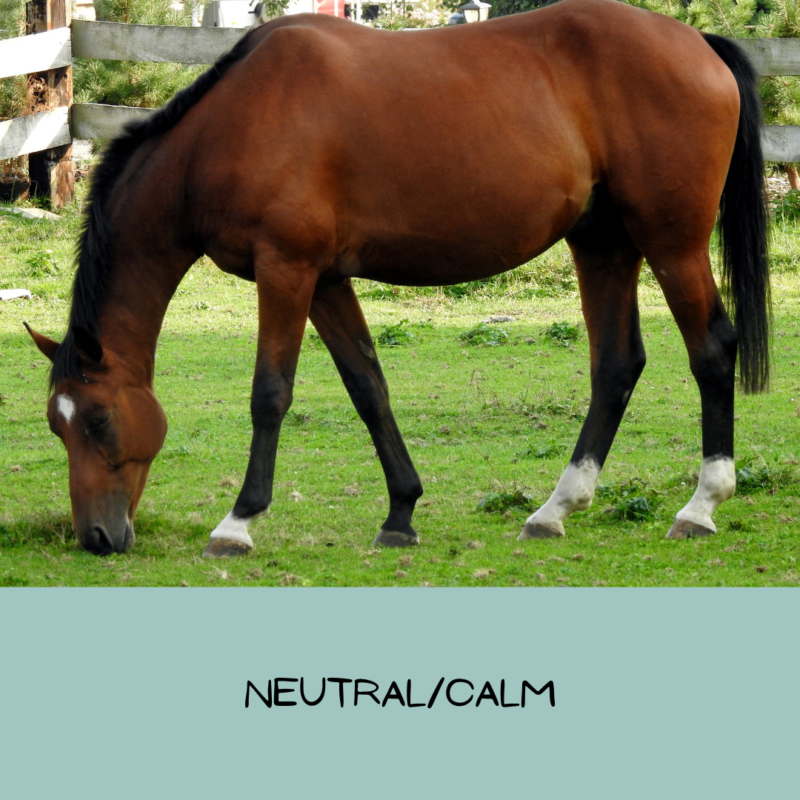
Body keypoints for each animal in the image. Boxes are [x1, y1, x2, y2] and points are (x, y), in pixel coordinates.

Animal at [26, 0, 770, 557]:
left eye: (97, 420)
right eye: (57, 427)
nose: (97, 537)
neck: (227, 129)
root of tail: (698, 43)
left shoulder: (285, 271)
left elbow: (270, 393)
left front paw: (238, 522)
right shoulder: (324, 280)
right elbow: (367, 386)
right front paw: (401, 513)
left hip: (672, 243)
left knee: (711, 350)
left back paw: (700, 505)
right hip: (603, 244)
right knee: (615, 366)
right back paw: (555, 509)